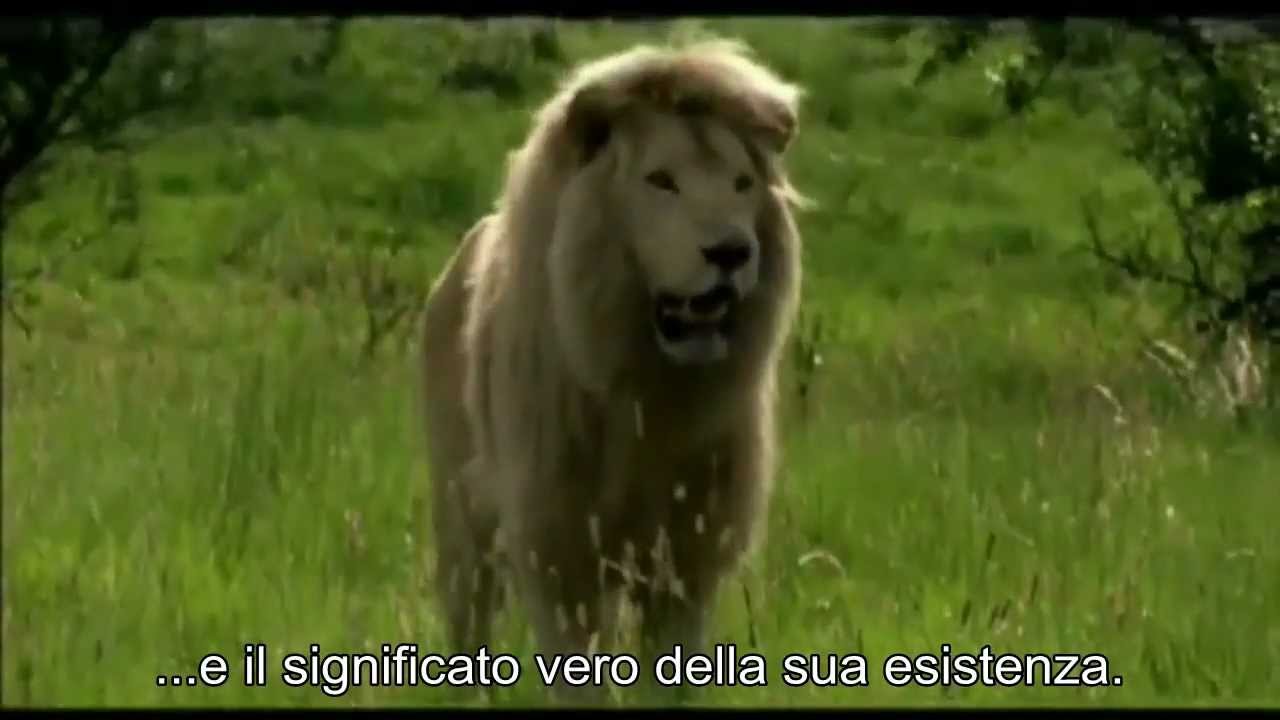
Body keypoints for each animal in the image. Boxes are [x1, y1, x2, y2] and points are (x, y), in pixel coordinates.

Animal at [418, 38, 805, 700]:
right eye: (661, 182)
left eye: (741, 183)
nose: (731, 252)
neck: (650, 390)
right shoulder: (561, 556)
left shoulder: (686, 562)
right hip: (462, 527)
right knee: (469, 634)